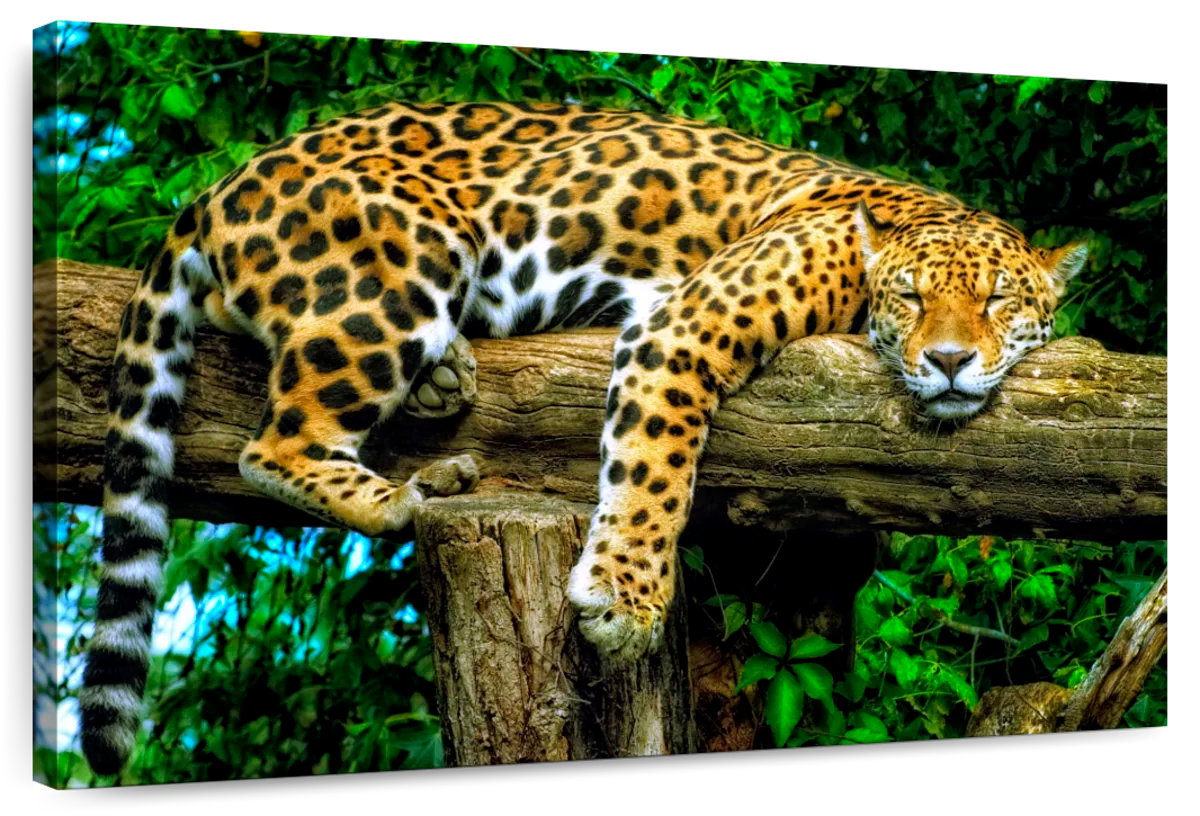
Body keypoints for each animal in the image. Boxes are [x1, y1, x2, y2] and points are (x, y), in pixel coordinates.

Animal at [81, 99, 1087, 774]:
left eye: (1000, 301)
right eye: (911, 298)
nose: (949, 360)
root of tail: (218, 185)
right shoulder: (685, 326)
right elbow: (656, 471)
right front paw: (625, 603)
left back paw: (447, 380)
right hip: (393, 273)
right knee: (276, 444)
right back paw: (413, 493)